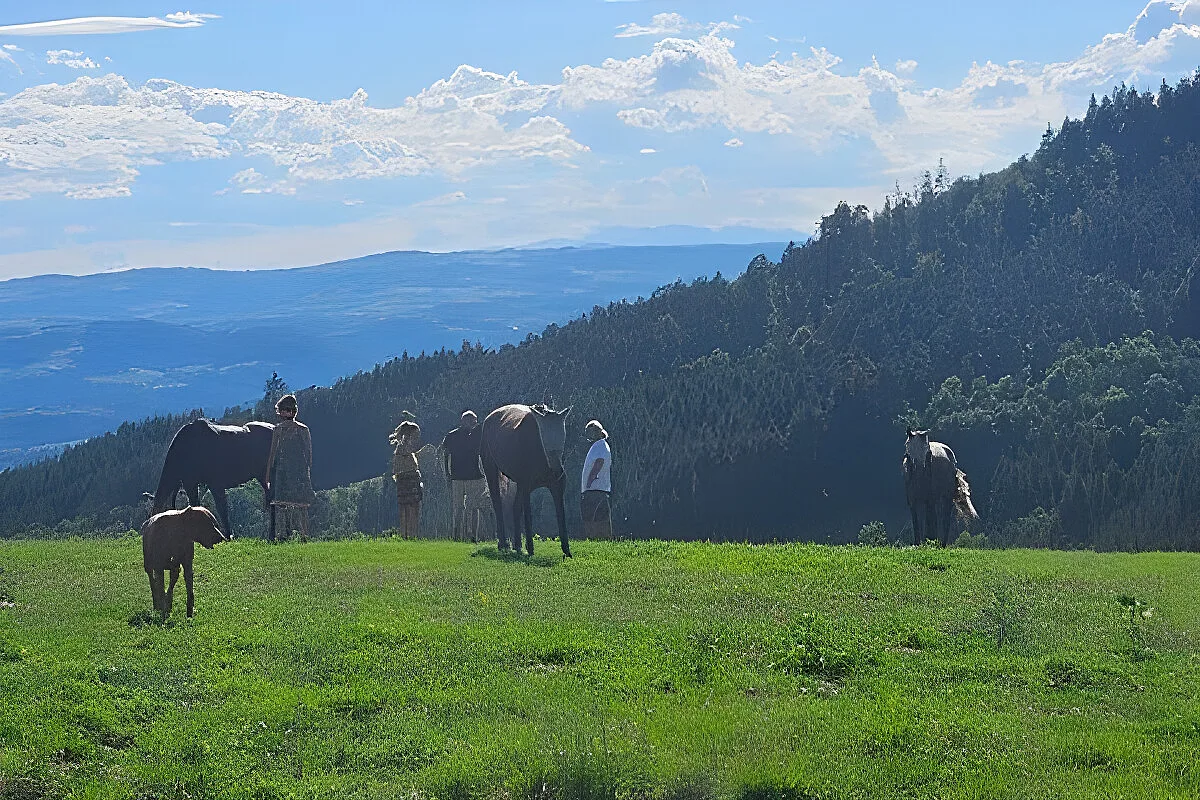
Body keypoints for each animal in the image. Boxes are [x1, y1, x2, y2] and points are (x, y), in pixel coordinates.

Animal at [480, 403, 573, 558]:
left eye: (562, 438)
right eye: (545, 439)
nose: (557, 470)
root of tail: (488, 418)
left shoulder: (557, 486)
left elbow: (561, 514)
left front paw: (567, 551)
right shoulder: (526, 485)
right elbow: (528, 515)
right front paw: (530, 548)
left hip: (518, 485)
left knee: (515, 507)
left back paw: (517, 545)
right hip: (491, 470)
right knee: (498, 505)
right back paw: (504, 544)